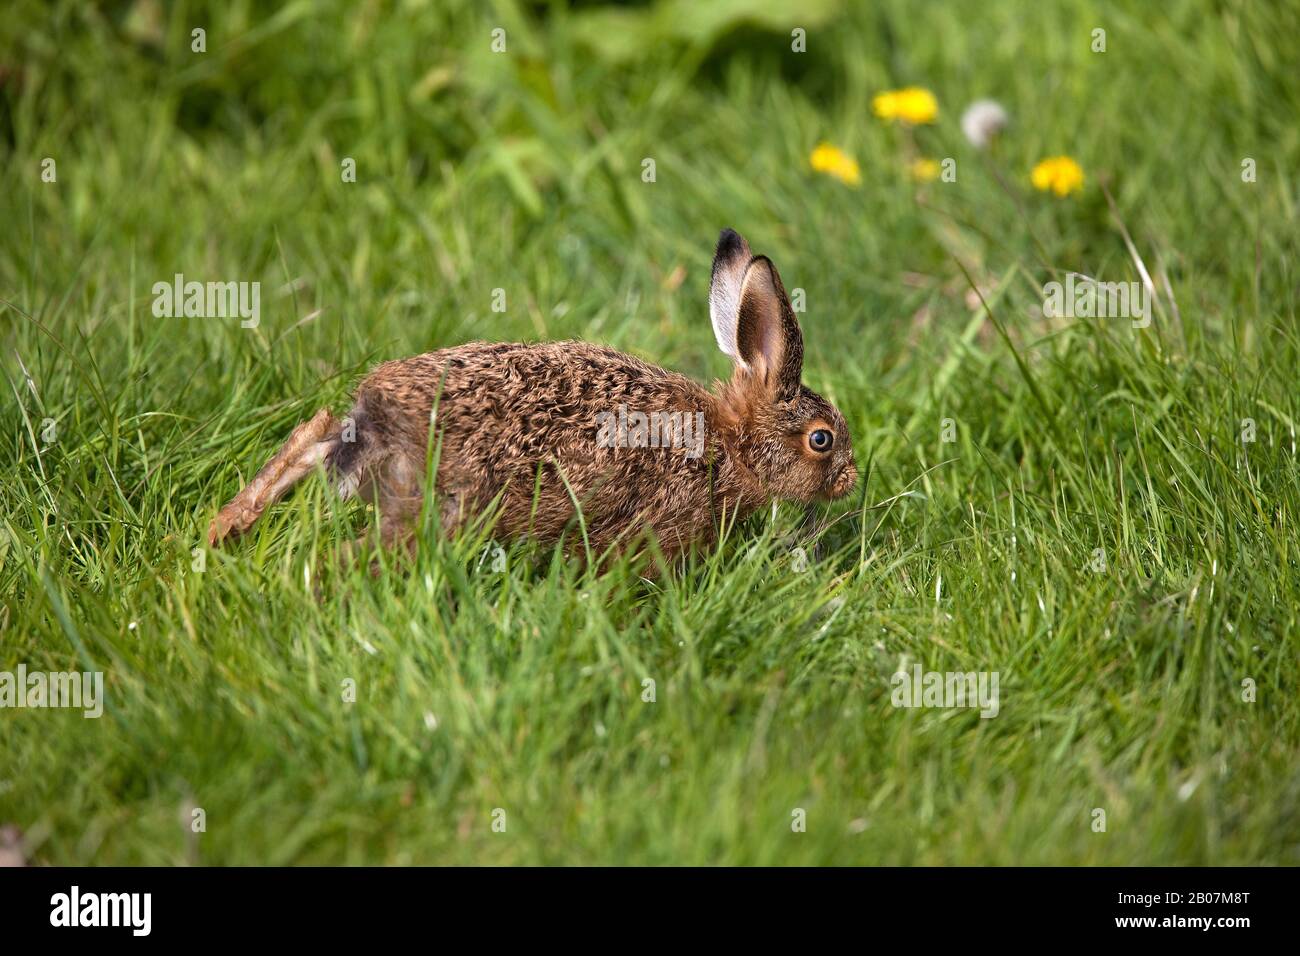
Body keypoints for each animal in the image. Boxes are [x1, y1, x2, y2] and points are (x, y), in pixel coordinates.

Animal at [207, 228, 858, 566]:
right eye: (820, 440)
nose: (852, 479)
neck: (732, 444)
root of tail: (375, 422)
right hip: (447, 507)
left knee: (311, 432)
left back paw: (221, 530)